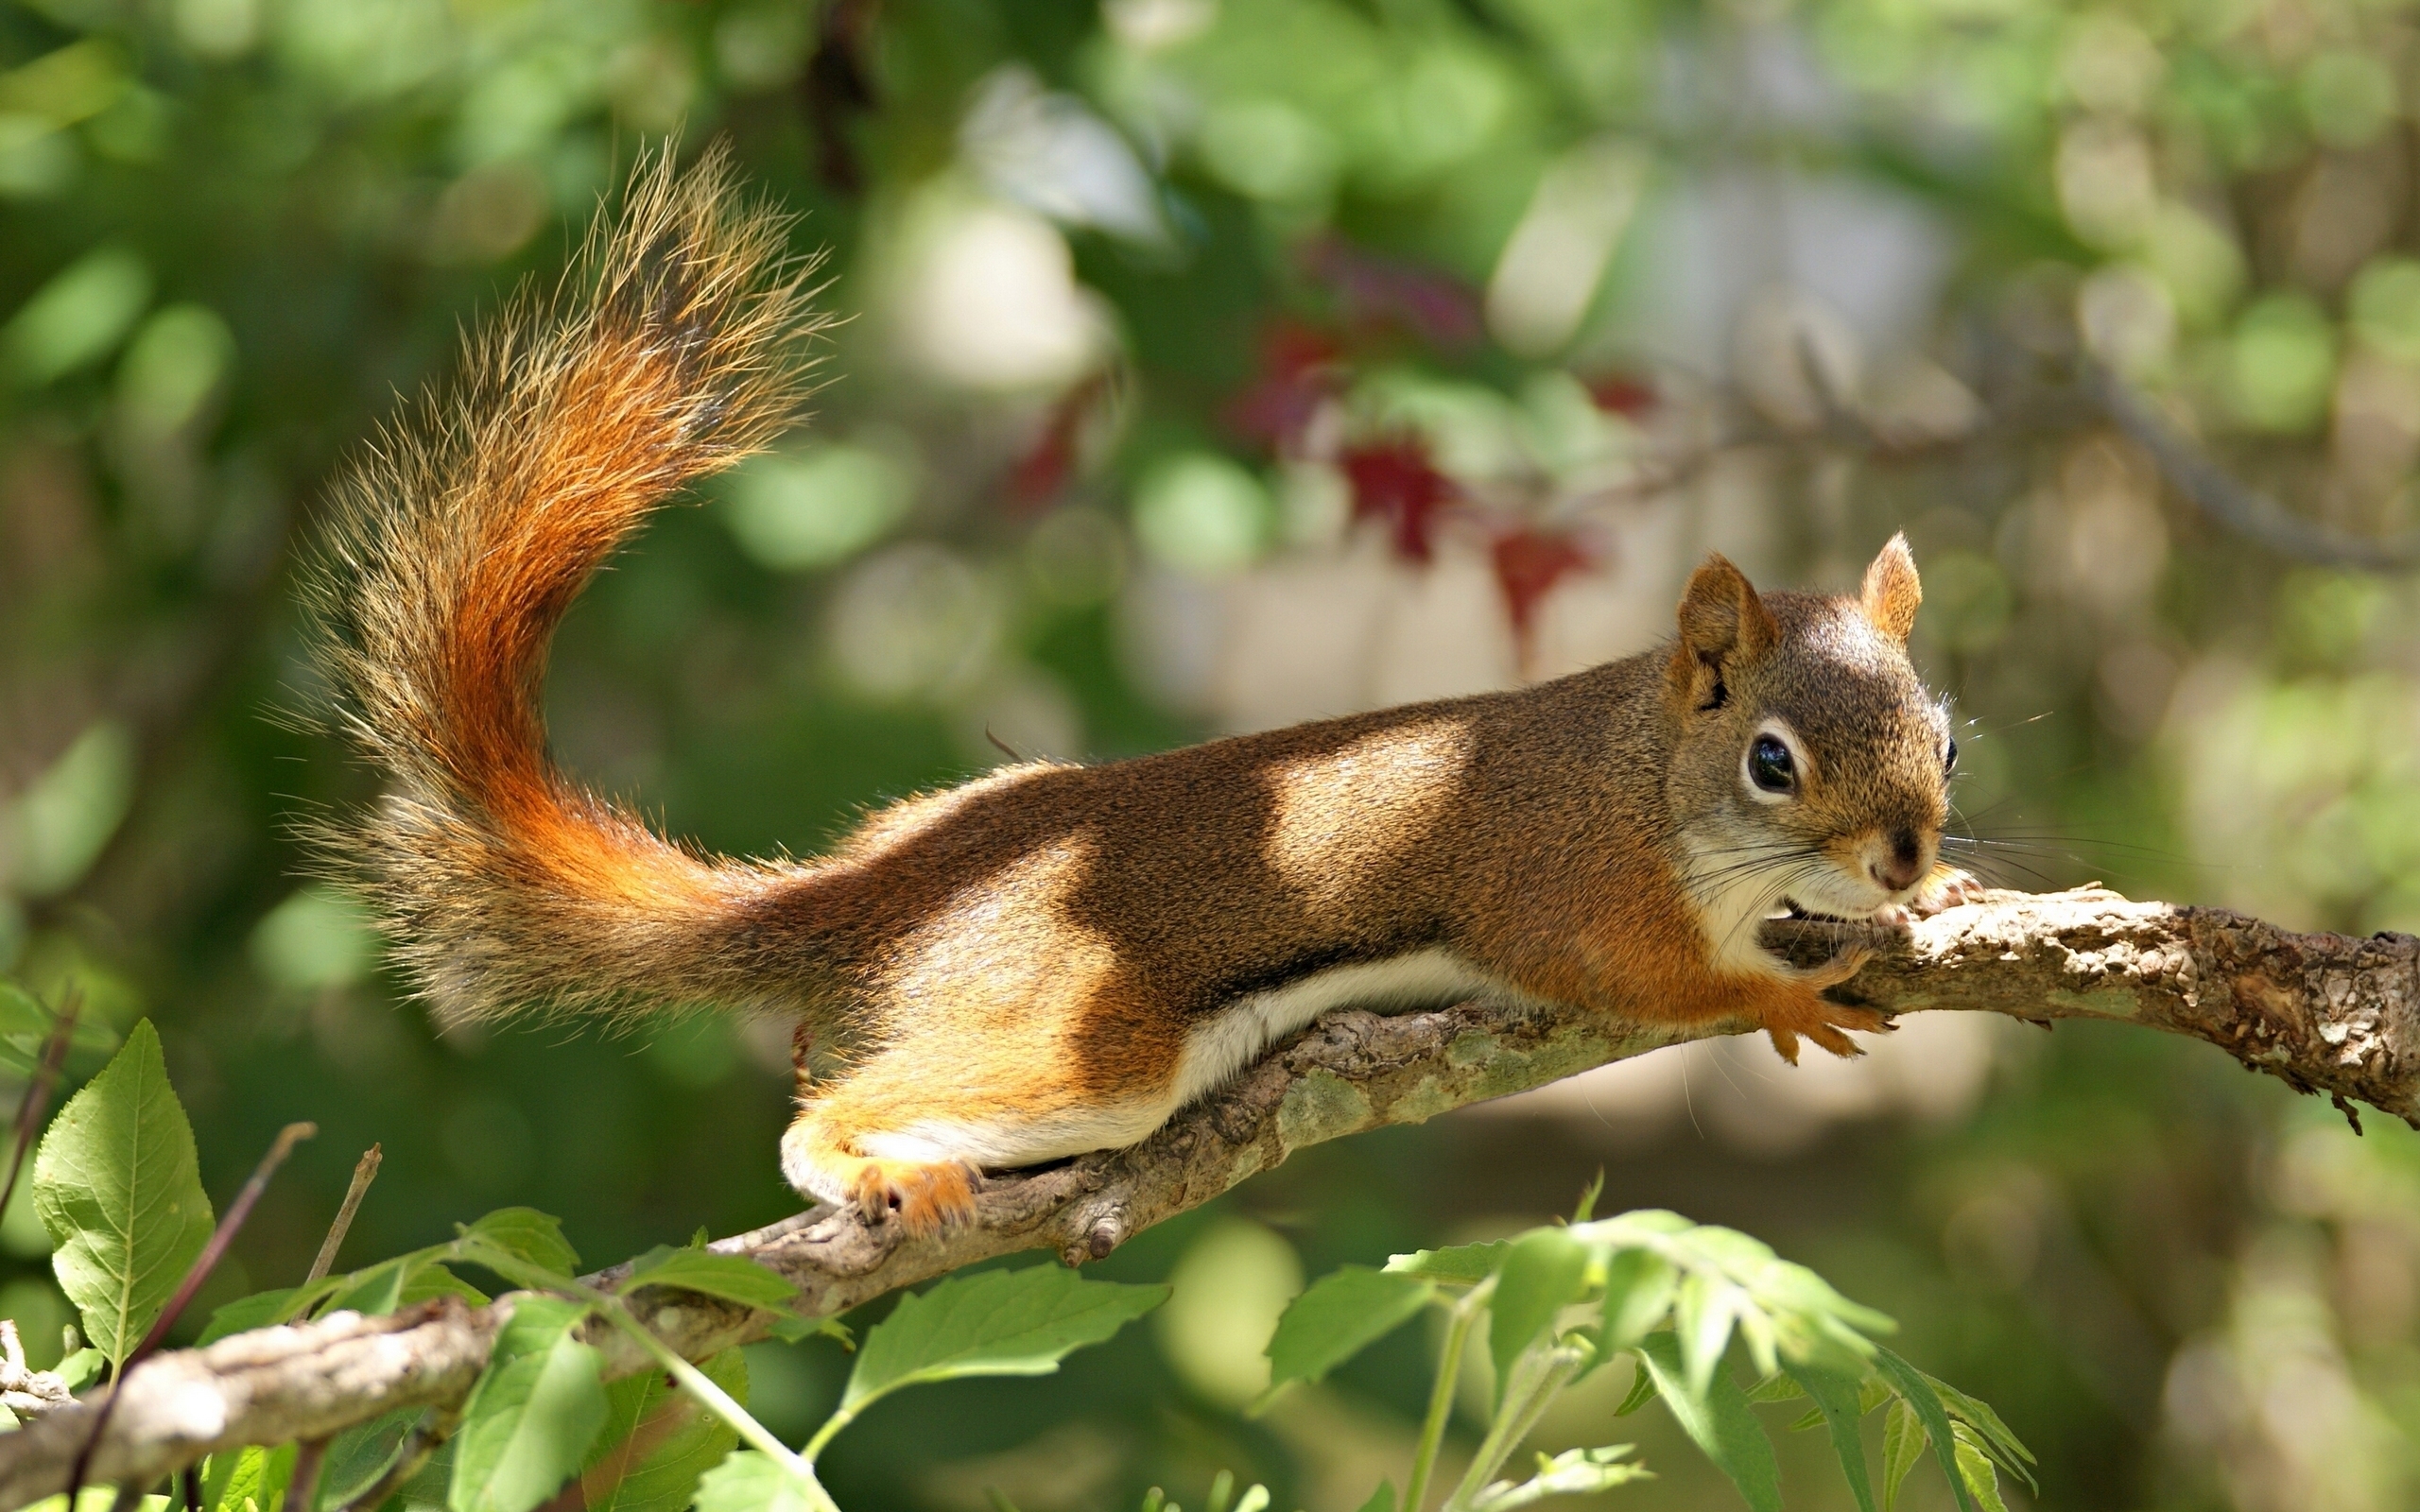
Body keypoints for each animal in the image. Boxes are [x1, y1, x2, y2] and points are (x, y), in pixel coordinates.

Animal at [305, 148, 1979, 1236]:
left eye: (1947, 739)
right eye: (1772, 762)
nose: (1905, 856)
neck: (1645, 772)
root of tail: (908, 882)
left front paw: (1945, 897)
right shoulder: (1566, 887)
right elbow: (1643, 979)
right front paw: (1776, 997)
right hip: (1082, 1031)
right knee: (849, 1106)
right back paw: (867, 1166)